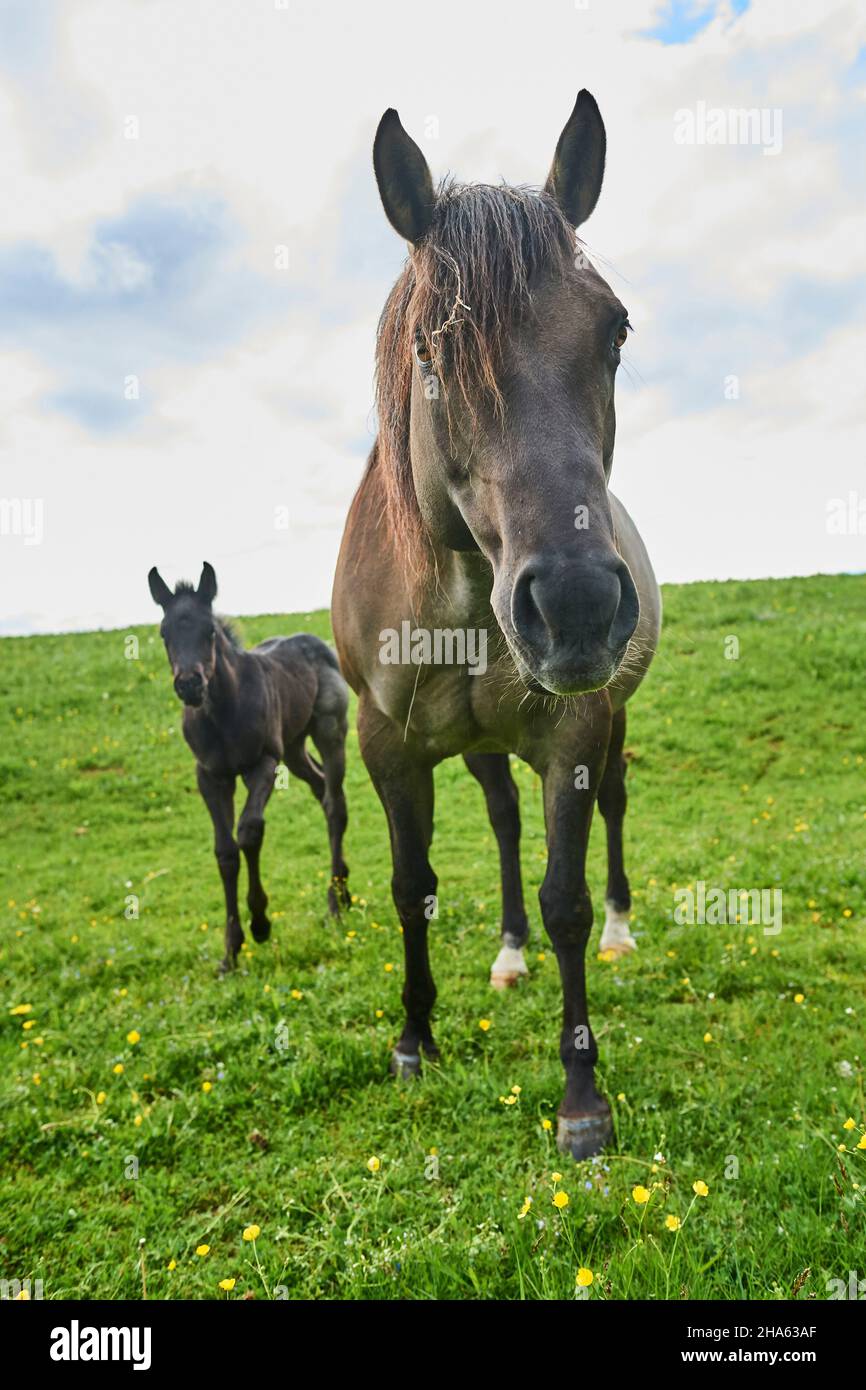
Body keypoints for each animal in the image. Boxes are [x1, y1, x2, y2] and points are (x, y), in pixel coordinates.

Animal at [148, 562, 350, 973]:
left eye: (210, 630)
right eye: (164, 633)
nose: (189, 684)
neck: (223, 711)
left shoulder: (263, 763)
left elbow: (249, 832)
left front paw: (260, 922)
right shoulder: (211, 775)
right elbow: (225, 850)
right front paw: (230, 952)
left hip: (328, 730)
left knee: (335, 803)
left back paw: (335, 905)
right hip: (294, 747)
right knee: (321, 787)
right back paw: (346, 888)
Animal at [331, 91, 661, 1160]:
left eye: (615, 330)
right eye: (432, 348)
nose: (577, 608)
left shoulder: (575, 731)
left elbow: (565, 895)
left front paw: (582, 1097)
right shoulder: (384, 744)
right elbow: (412, 885)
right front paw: (413, 1039)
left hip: (610, 718)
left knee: (608, 815)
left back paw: (620, 930)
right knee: (506, 821)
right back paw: (508, 956)